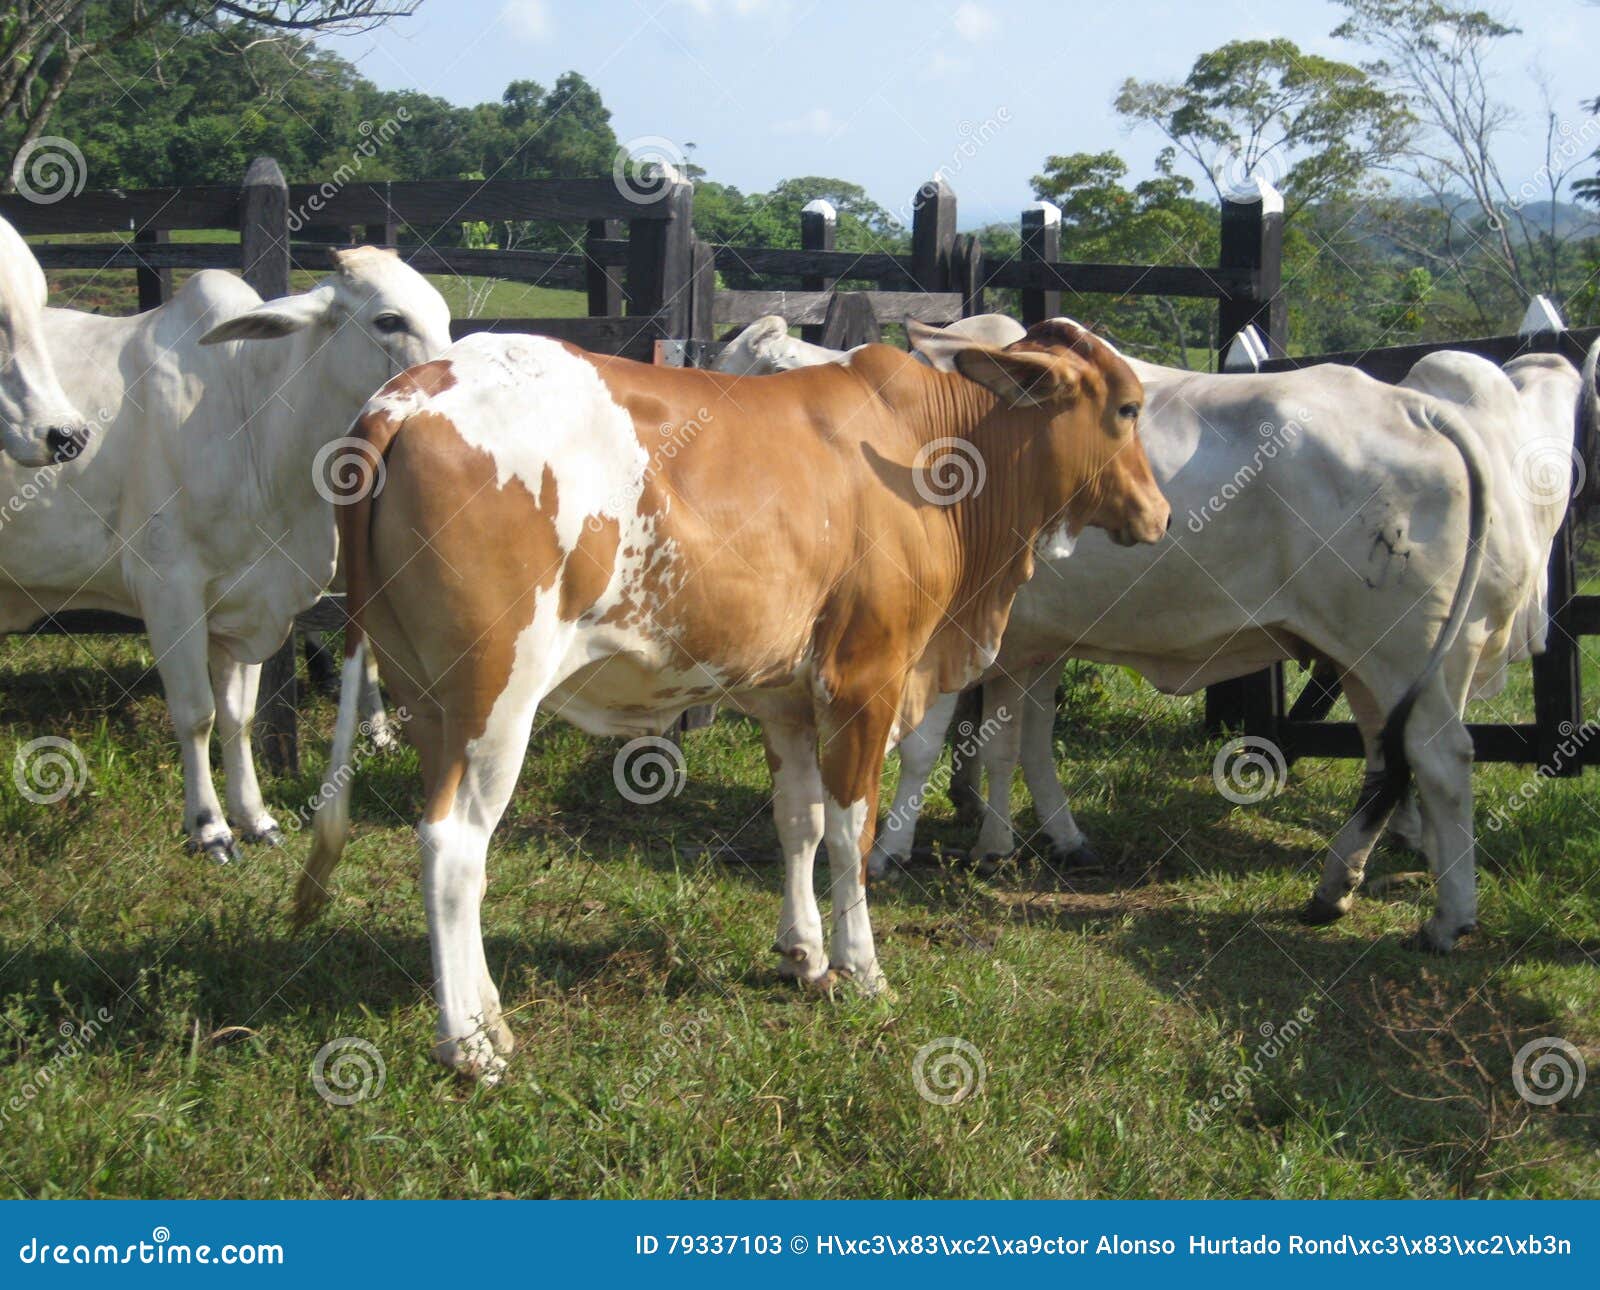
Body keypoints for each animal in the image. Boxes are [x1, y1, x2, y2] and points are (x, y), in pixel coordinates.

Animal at [0, 247, 451, 859]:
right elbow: (197, 715)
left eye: (444, 316)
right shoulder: (170, 593)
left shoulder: (248, 603)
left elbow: (238, 717)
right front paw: (209, 826)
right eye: (389, 320)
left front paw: (255, 816)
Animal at [292, 319, 1171, 1080]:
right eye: (1129, 408)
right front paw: (862, 969)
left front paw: (804, 957)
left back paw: (490, 1018)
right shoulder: (866, 679)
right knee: (453, 848)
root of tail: (414, 389)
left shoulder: (787, 699)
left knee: (452, 848)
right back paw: (470, 1045)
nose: (1160, 513)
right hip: (494, 698)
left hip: (428, 700)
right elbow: (852, 833)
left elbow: (799, 824)